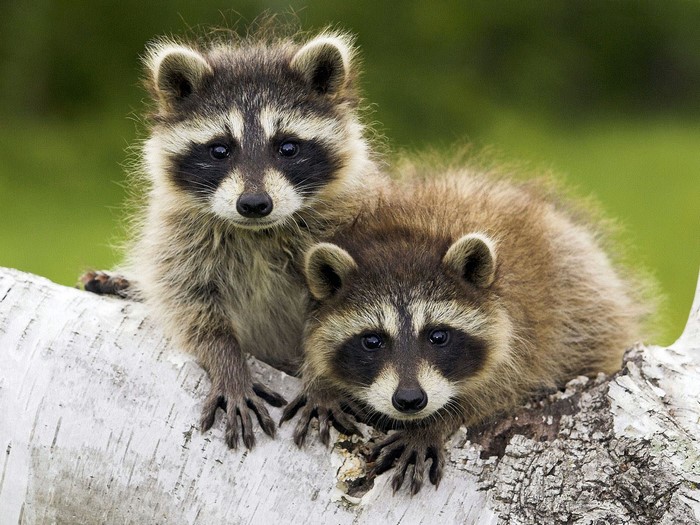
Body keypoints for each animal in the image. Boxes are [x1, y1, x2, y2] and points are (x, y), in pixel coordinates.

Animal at [82, 29, 384, 449]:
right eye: (220, 150)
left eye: (287, 147)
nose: (254, 204)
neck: (257, 233)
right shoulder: (179, 236)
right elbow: (191, 305)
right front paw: (227, 362)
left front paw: (323, 382)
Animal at [285, 168, 649, 493]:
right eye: (372, 341)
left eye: (438, 336)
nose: (410, 400)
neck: (409, 234)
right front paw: (321, 384)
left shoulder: (528, 332)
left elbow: (502, 388)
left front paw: (436, 422)